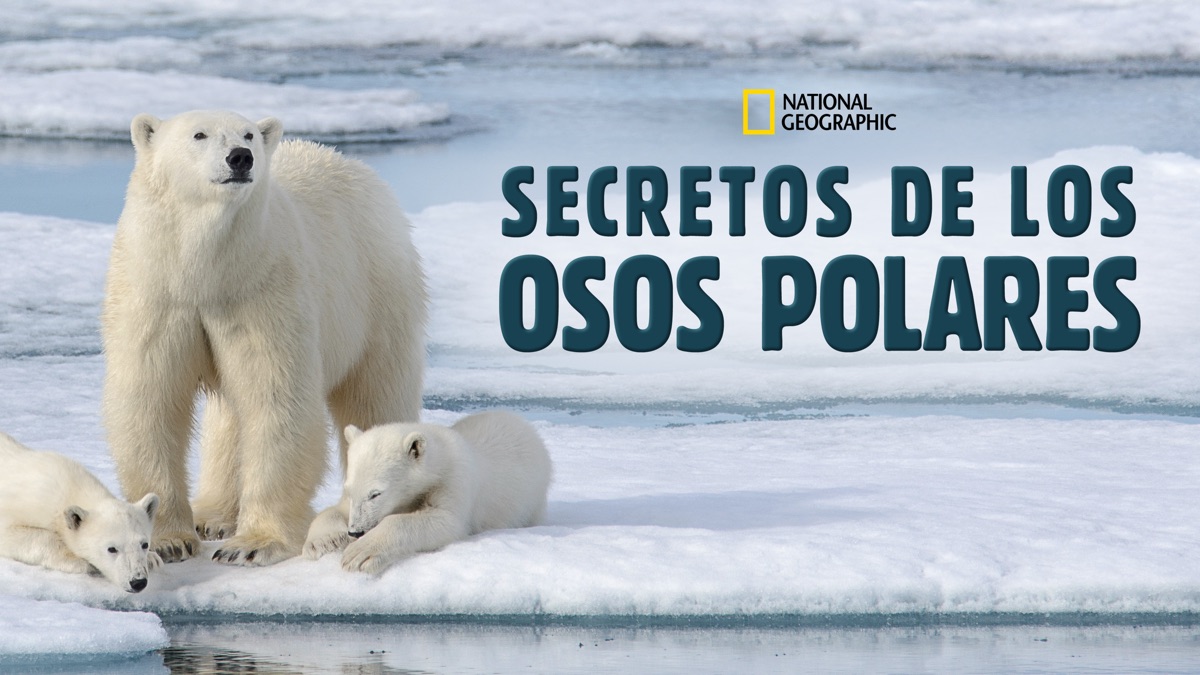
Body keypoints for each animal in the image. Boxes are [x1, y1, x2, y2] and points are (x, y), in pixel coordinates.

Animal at [0, 432, 161, 593]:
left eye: (144, 544)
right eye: (112, 549)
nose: (138, 581)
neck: (68, 488)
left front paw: (153, 559)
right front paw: (80, 562)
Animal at [102, 110, 427, 567]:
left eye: (249, 134)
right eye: (199, 134)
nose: (241, 157)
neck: (207, 272)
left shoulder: (263, 290)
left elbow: (275, 399)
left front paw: (252, 544)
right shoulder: (158, 294)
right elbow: (151, 398)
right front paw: (168, 541)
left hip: (378, 294)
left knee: (374, 393)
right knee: (228, 420)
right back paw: (213, 515)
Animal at [303, 411, 552, 574]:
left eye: (376, 494)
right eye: (350, 490)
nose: (355, 531)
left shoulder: (454, 481)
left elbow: (444, 521)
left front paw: (359, 553)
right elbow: (334, 510)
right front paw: (324, 542)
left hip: (533, 499)